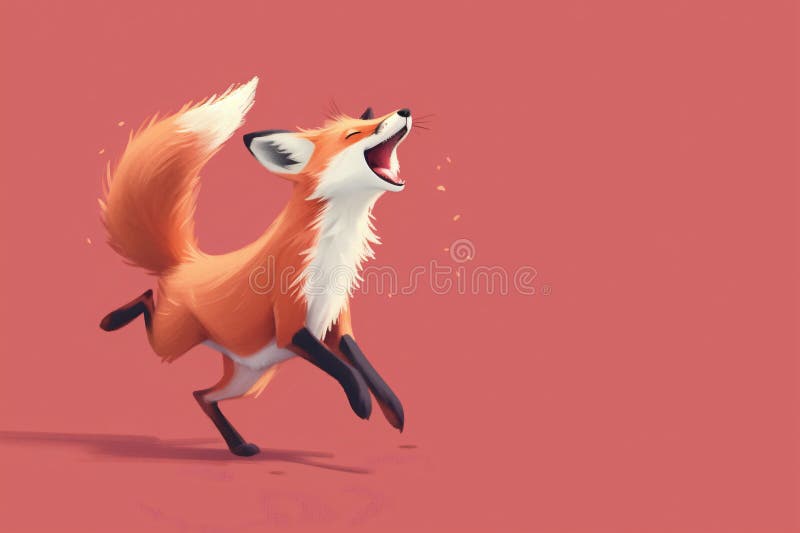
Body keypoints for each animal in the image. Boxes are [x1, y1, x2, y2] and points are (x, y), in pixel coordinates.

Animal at [99, 77, 411, 456]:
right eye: (353, 133)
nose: (404, 110)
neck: (329, 256)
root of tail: (188, 261)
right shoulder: (291, 326)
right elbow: (344, 370)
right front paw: (360, 402)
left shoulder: (335, 324)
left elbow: (366, 366)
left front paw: (393, 409)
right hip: (170, 342)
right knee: (146, 301)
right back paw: (111, 320)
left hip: (248, 378)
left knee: (202, 395)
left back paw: (238, 445)